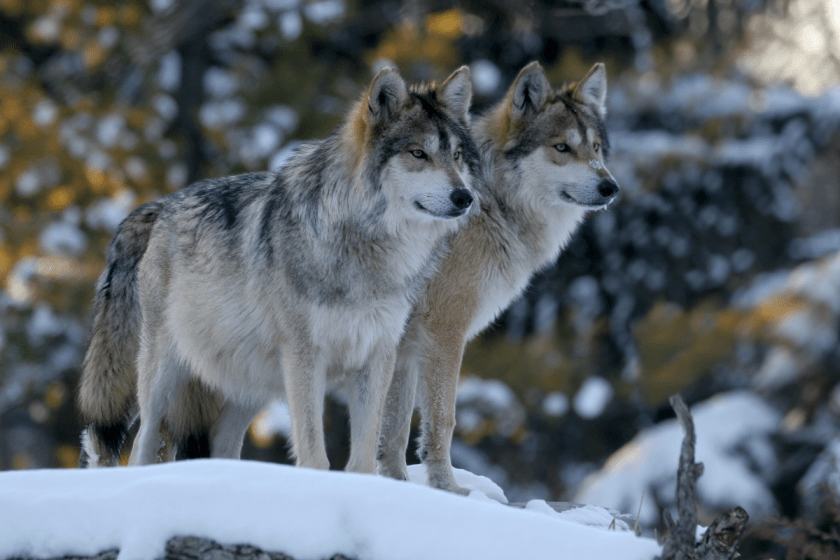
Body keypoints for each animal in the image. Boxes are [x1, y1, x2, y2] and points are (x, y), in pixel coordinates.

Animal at [77, 66, 478, 474]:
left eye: (457, 155)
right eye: (419, 153)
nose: (465, 197)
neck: (367, 249)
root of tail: (160, 206)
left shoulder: (377, 357)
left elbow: (363, 458)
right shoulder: (305, 357)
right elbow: (315, 455)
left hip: (250, 386)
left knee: (220, 444)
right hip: (165, 373)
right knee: (144, 442)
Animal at [376, 62, 620, 493]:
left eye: (595, 148)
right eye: (561, 148)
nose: (611, 186)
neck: (493, 206)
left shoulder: (404, 344)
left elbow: (394, 430)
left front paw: (398, 486)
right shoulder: (444, 331)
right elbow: (442, 419)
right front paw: (449, 489)